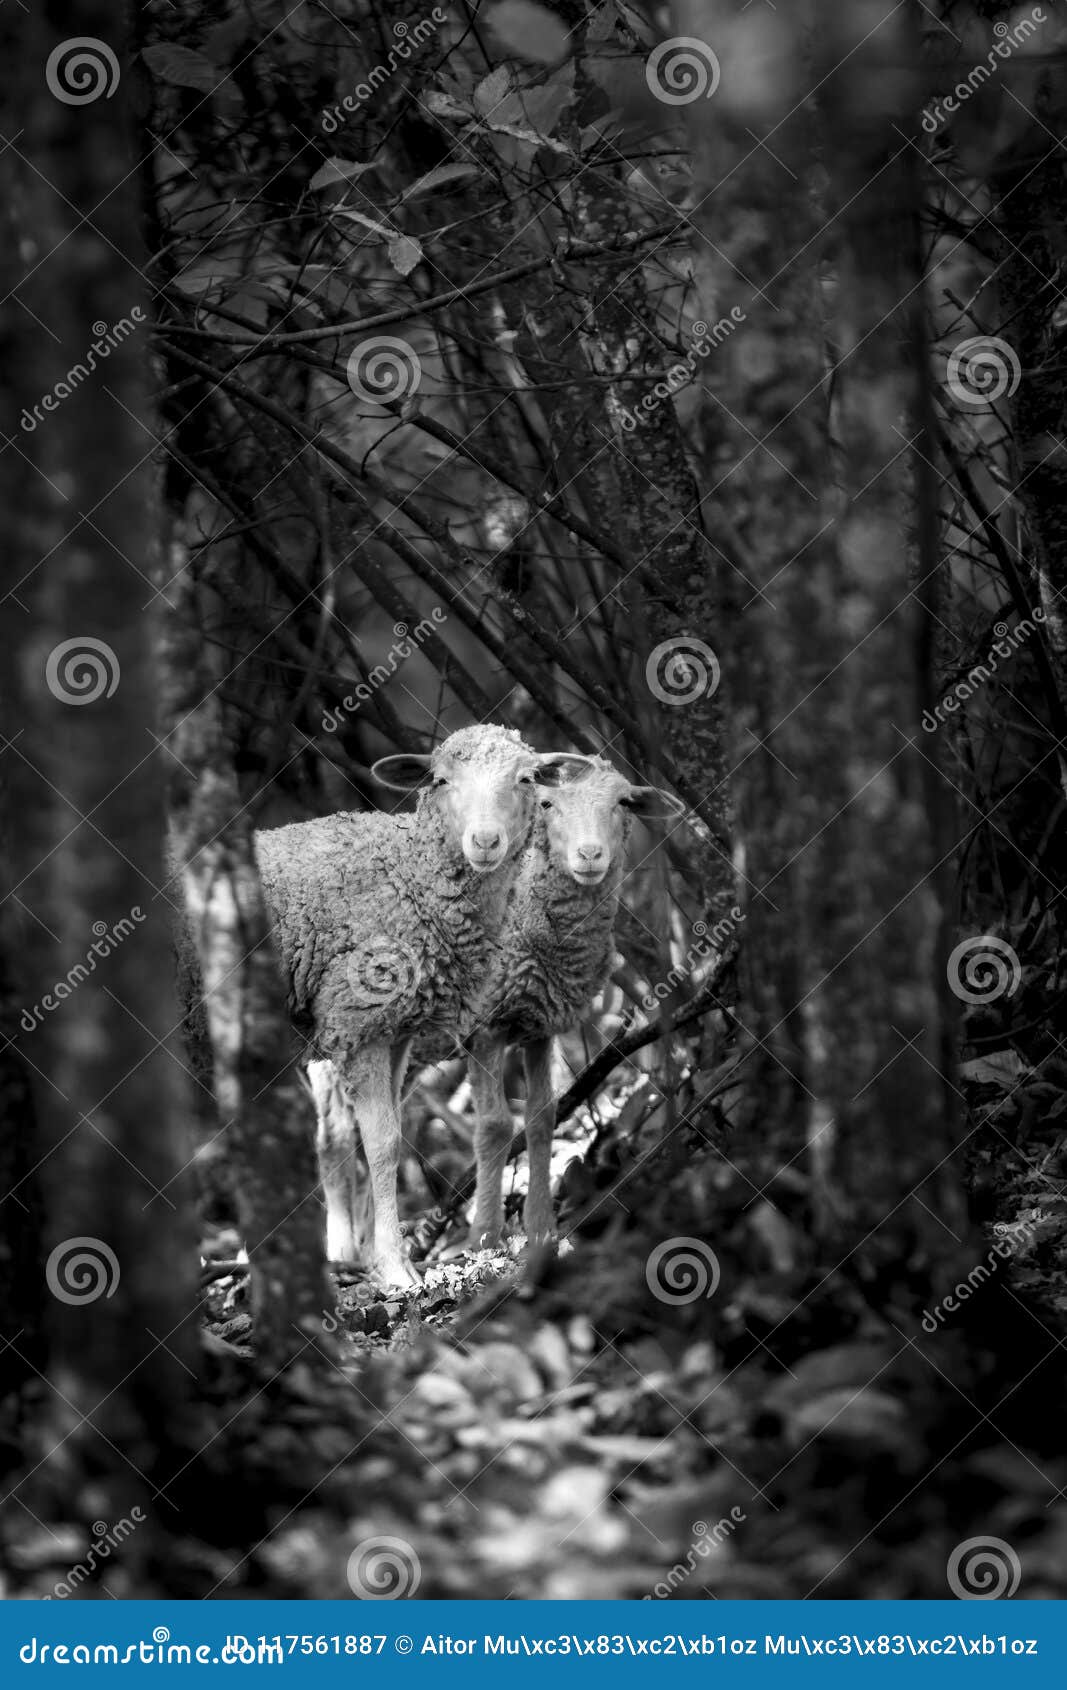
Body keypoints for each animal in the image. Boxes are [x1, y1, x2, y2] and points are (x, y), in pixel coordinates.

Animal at [253, 723, 590, 1288]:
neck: (409, 872)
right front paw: (395, 1269)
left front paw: (380, 1257)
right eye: (440, 779)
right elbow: (384, 1141)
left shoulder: (397, 1030)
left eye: (526, 779)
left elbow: (386, 1137)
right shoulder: (357, 1019)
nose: (484, 842)